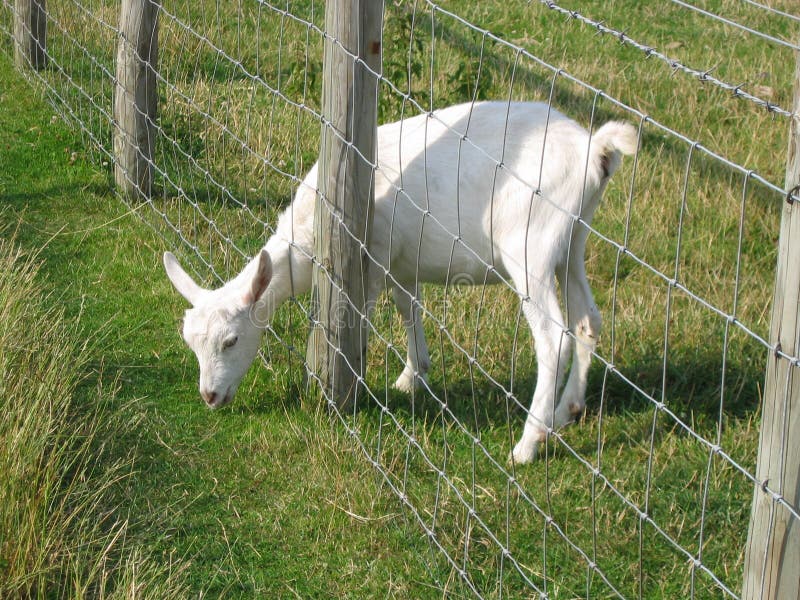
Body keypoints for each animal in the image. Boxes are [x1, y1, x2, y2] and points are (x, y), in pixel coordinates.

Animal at [163, 101, 637, 463]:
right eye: (190, 342)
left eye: (231, 340)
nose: (210, 396)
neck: (310, 231)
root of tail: (596, 149)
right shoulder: (400, 259)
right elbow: (409, 305)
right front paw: (413, 375)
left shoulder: (370, 261)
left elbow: (362, 314)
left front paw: (351, 385)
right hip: (572, 238)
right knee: (587, 320)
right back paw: (567, 410)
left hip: (530, 246)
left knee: (553, 338)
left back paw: (528, 443)